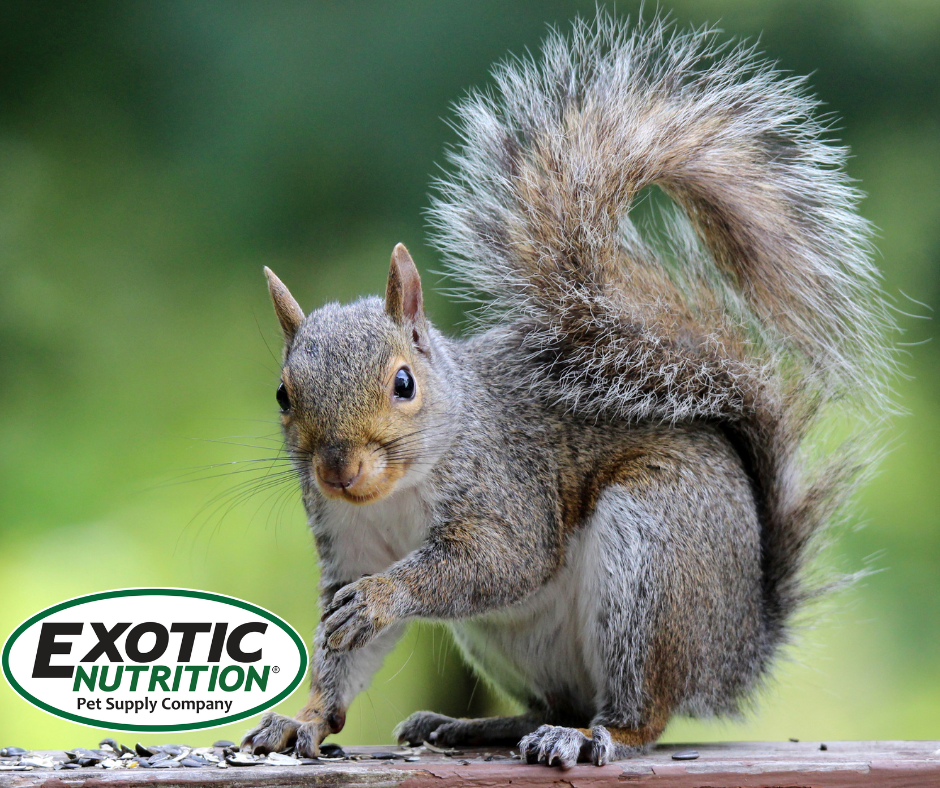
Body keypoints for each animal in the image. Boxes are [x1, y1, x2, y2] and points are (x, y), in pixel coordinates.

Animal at [241, 13, 894, 768]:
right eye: (283, 395)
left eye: (403, 383)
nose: (338, 469)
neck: (397, 492)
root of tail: (737, 649)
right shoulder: (347, 544)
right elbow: (344, 653)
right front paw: (303, 721)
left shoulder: (507, 488)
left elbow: (498, 561)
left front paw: (383, 595)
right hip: (514, 640)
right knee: (558, 701)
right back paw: (474, 726)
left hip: (654, 559)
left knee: (639, 712)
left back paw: (587, 737)